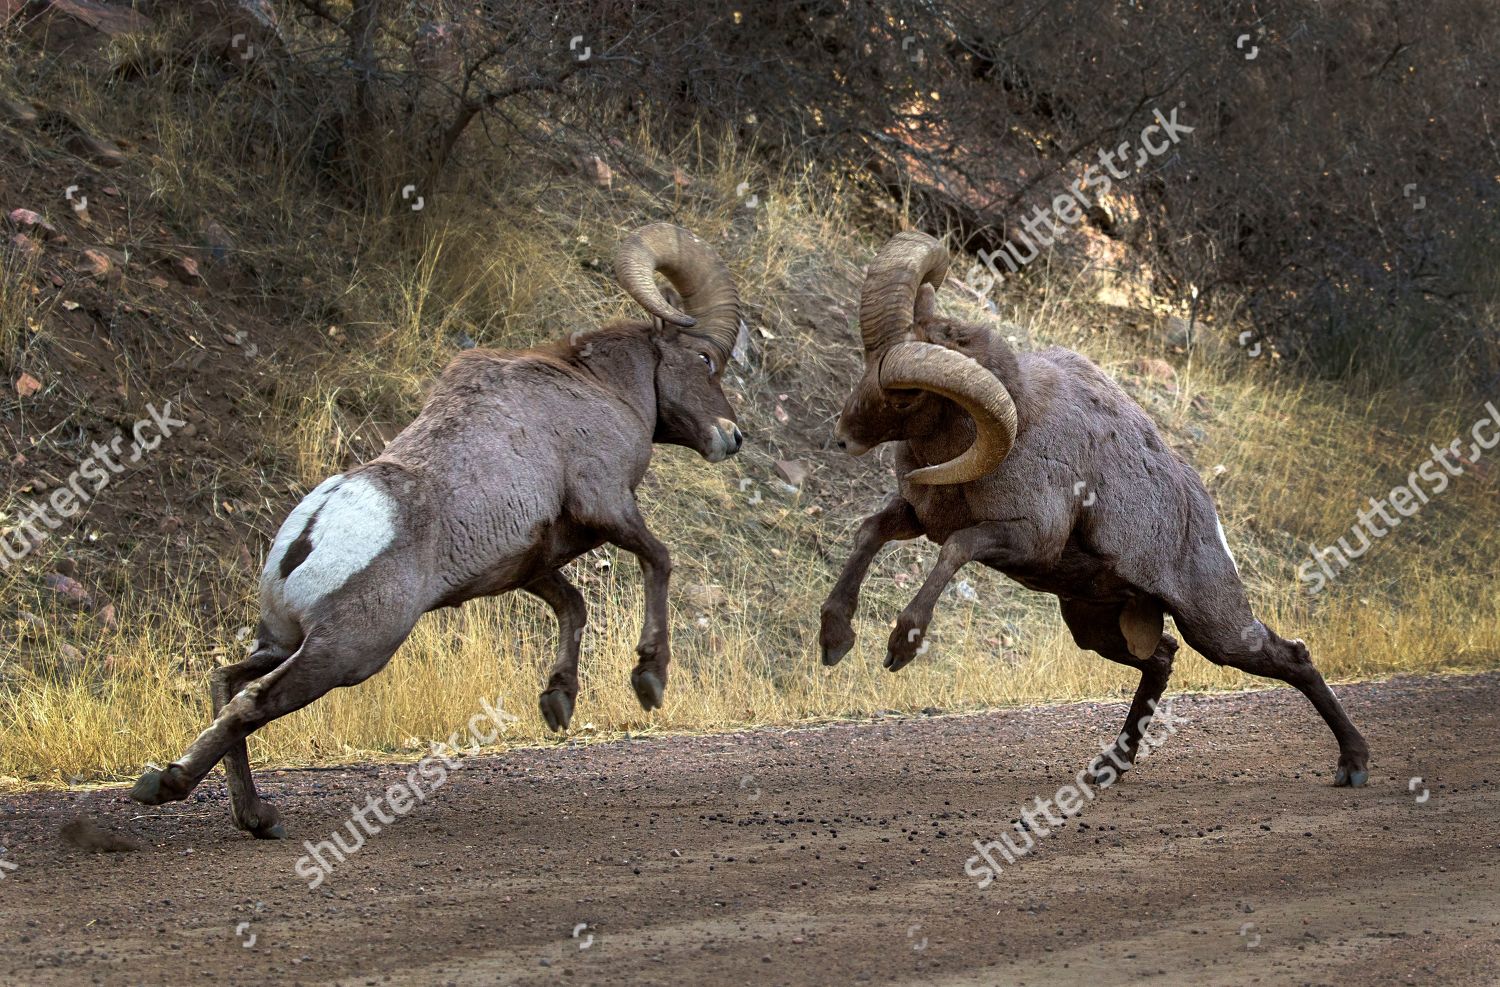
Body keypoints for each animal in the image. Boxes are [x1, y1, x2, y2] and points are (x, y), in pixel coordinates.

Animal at [130, 222, 748, 837]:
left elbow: (573, 606)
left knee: (225, 683)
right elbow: (658, 560)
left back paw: (256, 817)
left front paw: (557, 702)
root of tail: (310, 533)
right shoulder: (607, 504)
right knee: (251, 701)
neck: (602, 389)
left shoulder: (528, 567)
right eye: (703, 359)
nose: (733, 436)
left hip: (284, 639)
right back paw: (165, 786)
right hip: (349, 652)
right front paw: (649, 679)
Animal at [819, 231, 1370, 787]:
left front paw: (901, 646)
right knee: (1162, 659)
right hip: (1094, 627)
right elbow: (870, 532)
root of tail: (1208, 517)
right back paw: (1111, 766)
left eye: (906, 396)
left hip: (1216, 630)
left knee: (1290, 657)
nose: (842, 437)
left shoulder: (1024, 539)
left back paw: (1354, 764)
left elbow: (956, 548)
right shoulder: (916, 517)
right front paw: (834, 640)